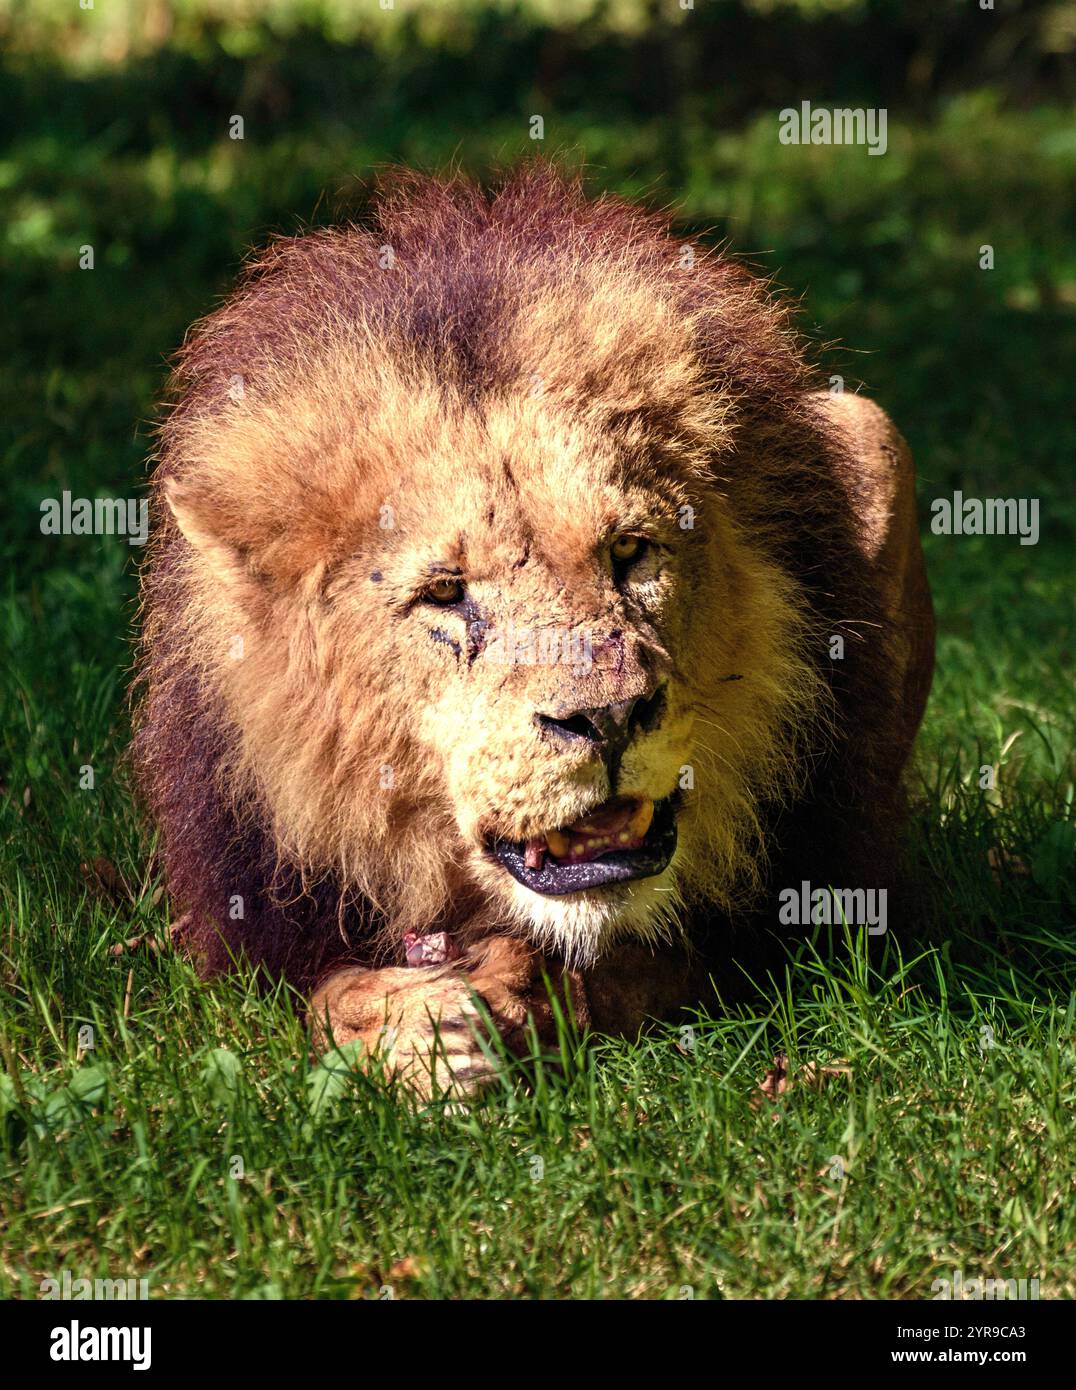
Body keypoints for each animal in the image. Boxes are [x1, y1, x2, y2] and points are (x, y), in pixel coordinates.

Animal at [133, 164, 934, 1096]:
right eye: (446, 594)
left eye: (630, 552)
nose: (609, 719)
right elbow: (330, 992)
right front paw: (421, 1032)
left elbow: (621, 966)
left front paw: (506, 1005)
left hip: (871, 430)